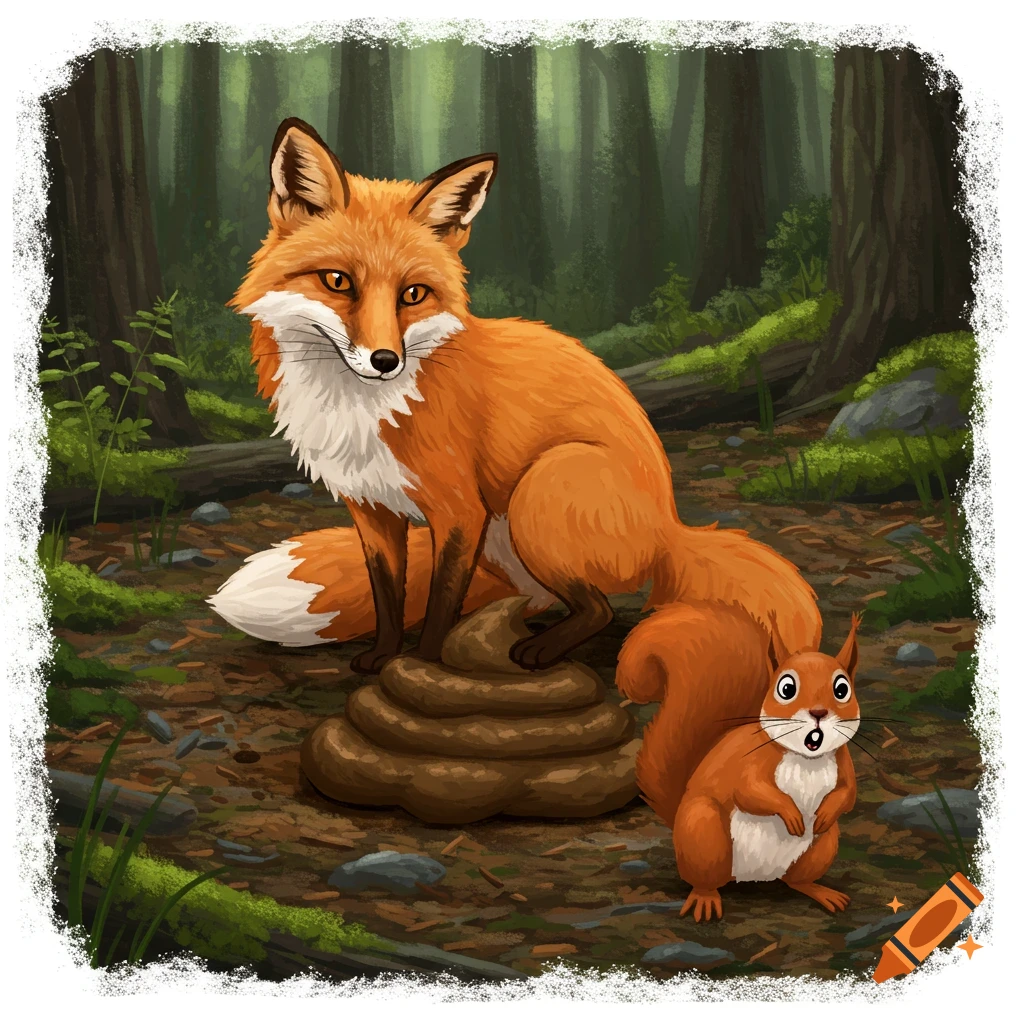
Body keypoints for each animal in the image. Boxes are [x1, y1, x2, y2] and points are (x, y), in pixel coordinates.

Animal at [209, 117, 822, 672]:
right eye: (338, 282)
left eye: (413, 294)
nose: (385, 361)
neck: (364, 412)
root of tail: (671, 527)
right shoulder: (373, 510)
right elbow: (389, 596)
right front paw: (382, 658)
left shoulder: (461, 510)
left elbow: (439, 603)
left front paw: (424, 665)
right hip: (509, 536)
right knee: (538, 598)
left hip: (540, 490)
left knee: (596, 606)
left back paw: (538, 651)